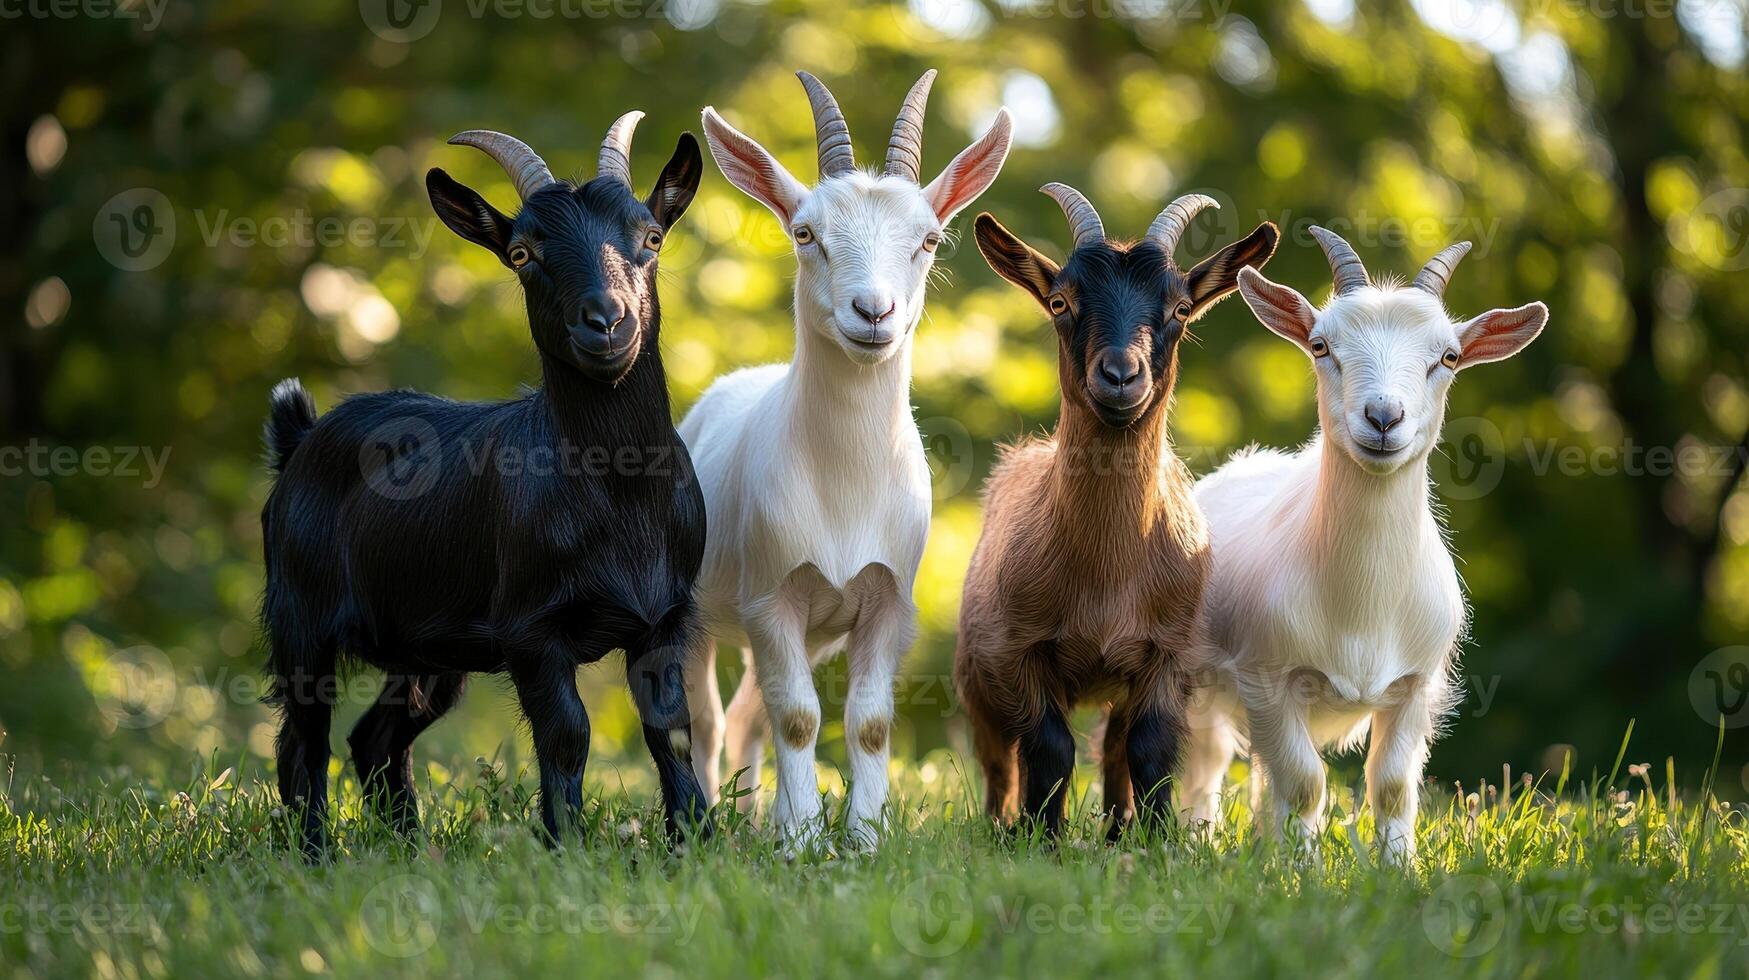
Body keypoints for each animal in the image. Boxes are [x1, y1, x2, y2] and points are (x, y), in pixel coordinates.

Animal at [260, 115, 711, 856]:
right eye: (522, 254)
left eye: (651, 237)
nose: (607, 321)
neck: (620, 499)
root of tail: (297, 437)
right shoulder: (531, 631)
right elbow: (567, 736)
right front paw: (566, 850)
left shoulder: (664, 617)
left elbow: (669, 729)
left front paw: (696, 844)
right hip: (300, 615)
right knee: (304, 739)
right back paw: (315, 853)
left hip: (428, 645)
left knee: (375, 736)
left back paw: (408, 849)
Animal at [678, 71, 1012, 845]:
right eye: (805, 233)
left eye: (929, 238)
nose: (873, 312)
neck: (844, 485)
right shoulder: (771, 597)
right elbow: (800, 719)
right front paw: (802, 840)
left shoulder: (889, 600)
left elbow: (868, 723)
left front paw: (861, 840)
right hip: (700, 615)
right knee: (709, 720)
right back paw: (714, 820)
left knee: (746, 716)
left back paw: (750, 821)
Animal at [955, 184, 1279, 837]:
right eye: (1061, 301)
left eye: (1180, 308)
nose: (1121, 376)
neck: (1107, 572)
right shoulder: (1019, 652)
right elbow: (1049, 749)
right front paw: (1043, 838)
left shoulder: (1169, 656)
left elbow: (1148, 749)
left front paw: (1150, 840)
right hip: (976, 672)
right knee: (999, 758)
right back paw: (1003, 826)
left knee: (1111, 747)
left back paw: (1116, 829)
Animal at [1182, 226, 1548, 863]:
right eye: (1320, 345)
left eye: (1448, 357)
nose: (1382, 417)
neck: (1362, 608)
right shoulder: (1267, 679)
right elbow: (1306, 784)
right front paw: (1299, 871)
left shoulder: (1415, 687)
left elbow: (1393, 787)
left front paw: (1398, 868)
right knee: (1202, 768)